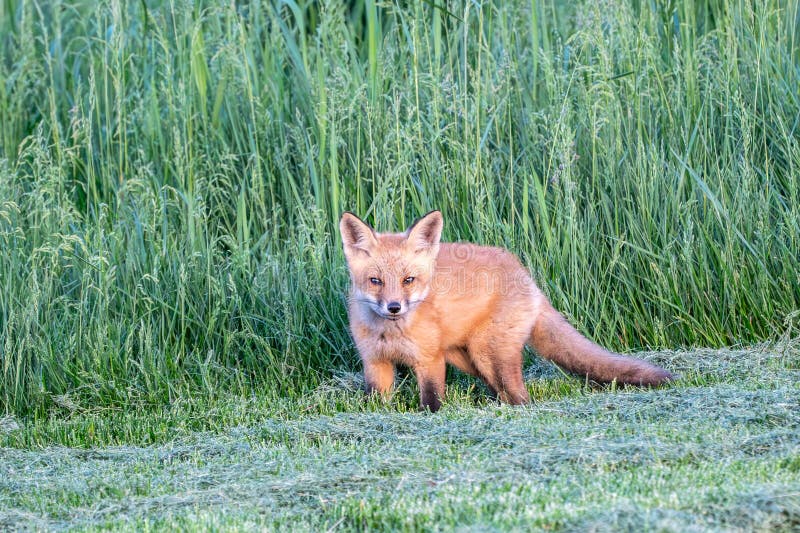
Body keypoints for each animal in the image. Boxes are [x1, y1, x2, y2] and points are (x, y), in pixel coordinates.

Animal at [339, 210, 674, 412]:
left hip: (488, 353)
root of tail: (524, 272)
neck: (390, 332)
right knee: (501, 391)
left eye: (408, 280)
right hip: (468, 359)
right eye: (376, 281)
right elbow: (375, 401)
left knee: (519, 396)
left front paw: (430, 419)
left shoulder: (429, 360)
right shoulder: (375, 363)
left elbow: (432, 401)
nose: (394, 307)